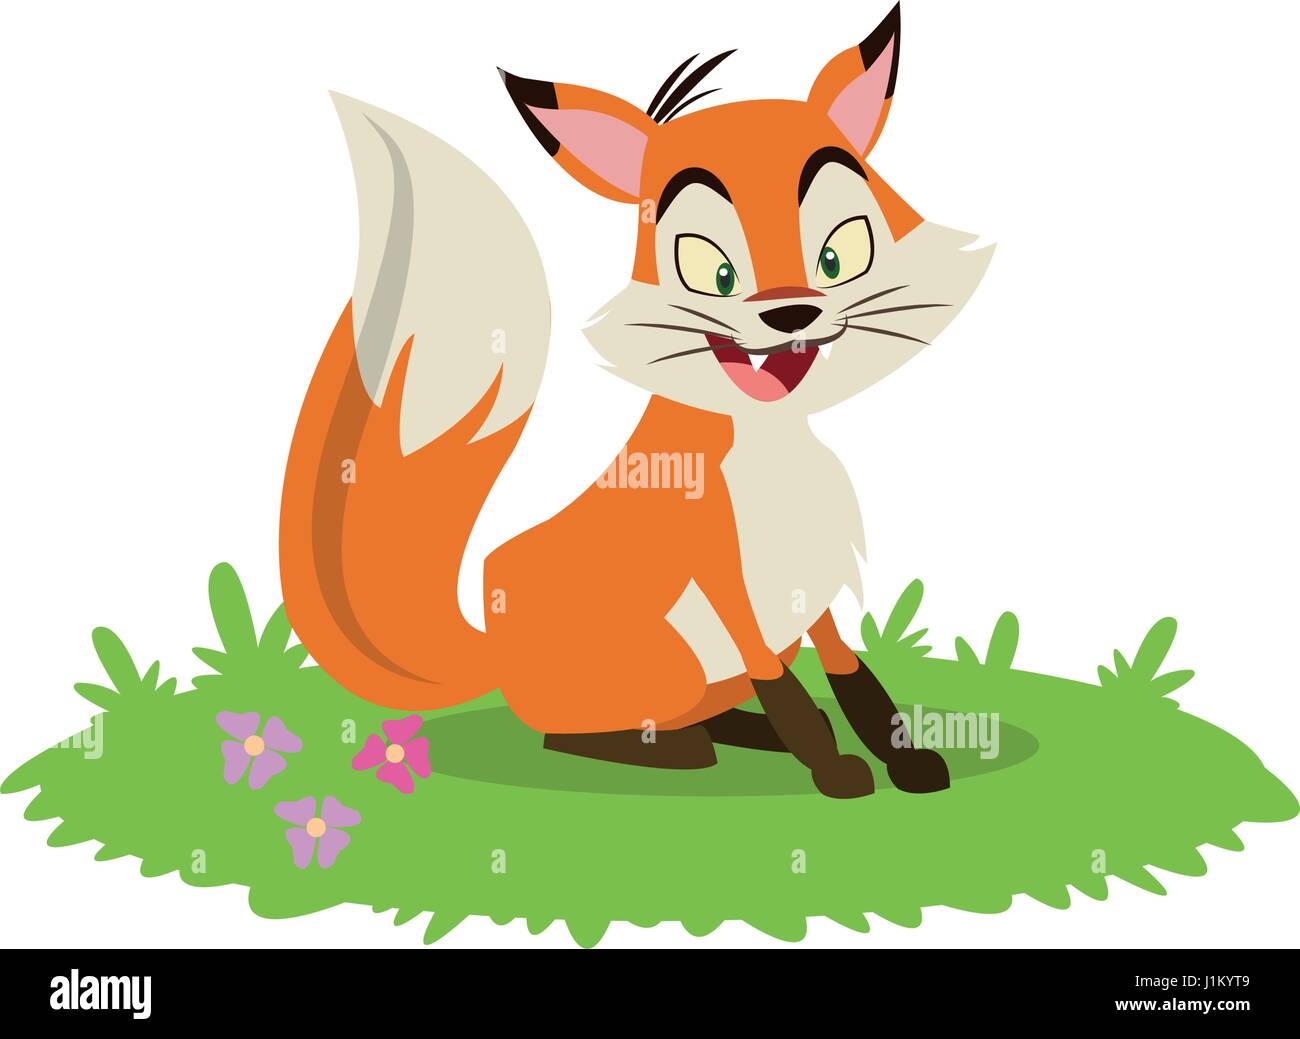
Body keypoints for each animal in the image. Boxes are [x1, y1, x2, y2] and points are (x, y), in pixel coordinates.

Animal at [280, 4, 991, 798]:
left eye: (839, 254)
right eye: (711, 270)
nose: (791, 313)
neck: (770, 448)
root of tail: (495, 640)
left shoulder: (808, 584)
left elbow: (850, 676)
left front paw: (905, 759)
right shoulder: (726, 573)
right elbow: (787, 688)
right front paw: (834, 769)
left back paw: (736, 735)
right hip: (670, 661)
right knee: (569, 735)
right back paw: (673, 749)